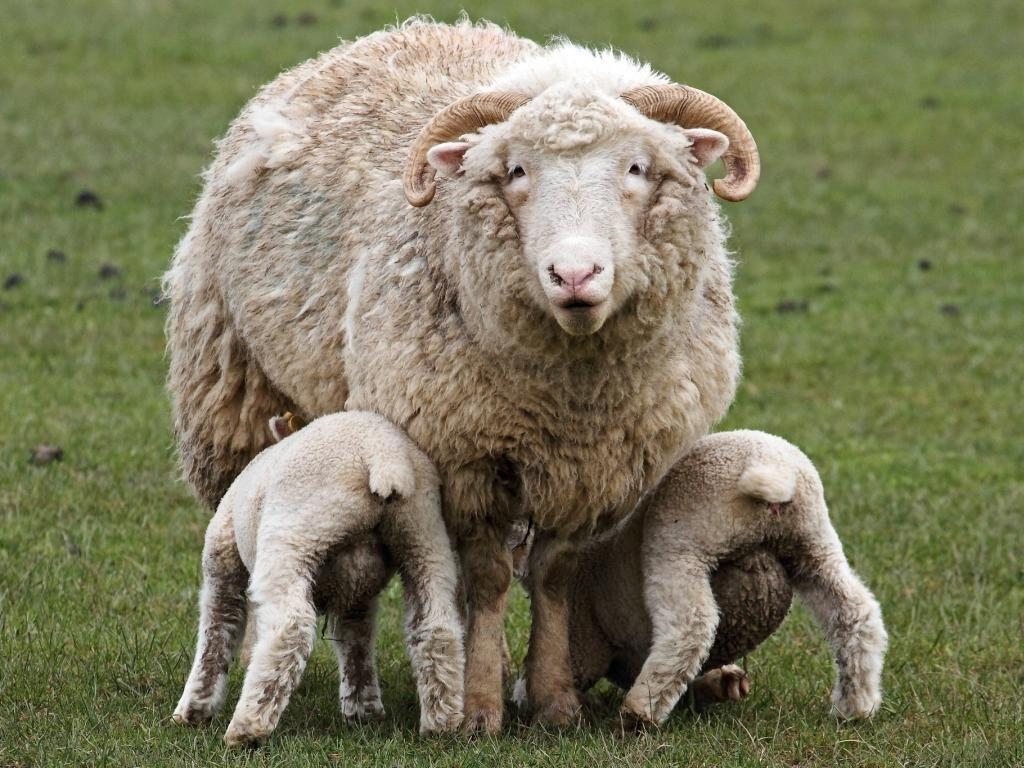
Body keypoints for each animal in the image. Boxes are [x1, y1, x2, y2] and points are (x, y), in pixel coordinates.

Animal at [171, 412, 464, 745]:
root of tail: (383, 454)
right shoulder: (357, 595)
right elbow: (355, 640)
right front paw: (363, 709)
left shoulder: (222, 557)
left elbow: (216, 632)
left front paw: (194, 709)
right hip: (424, 536)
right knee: (436, 627)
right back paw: (441, 722)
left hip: (293, 533)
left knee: (290, 629)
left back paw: (248, 726)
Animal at [517, 430, 888, 729]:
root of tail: (772, 470)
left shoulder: (581, 630)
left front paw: (526, 699)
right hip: (813, 542)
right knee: (856, 614)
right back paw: (857, 705)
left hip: (681, 544)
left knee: (691, 629)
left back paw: (639, 712)